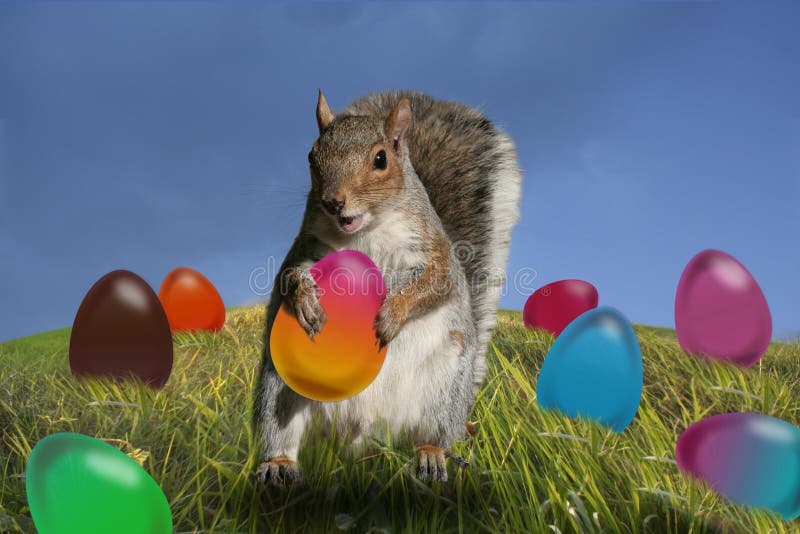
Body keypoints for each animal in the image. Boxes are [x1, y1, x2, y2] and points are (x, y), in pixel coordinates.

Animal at [253, 90, 522, 484]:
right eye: (311, 156)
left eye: (380, 159)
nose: (333, 201)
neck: (365, 229)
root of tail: (365, 436)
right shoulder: (306, 249)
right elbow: (290, 276)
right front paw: (305, 303)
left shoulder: (432, 250)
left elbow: (434, 283)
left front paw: (390, 317)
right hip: (280, 387)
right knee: (282, 432)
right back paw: (278, 463)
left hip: (444, 388)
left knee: (434, 434)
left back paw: (430, 455)